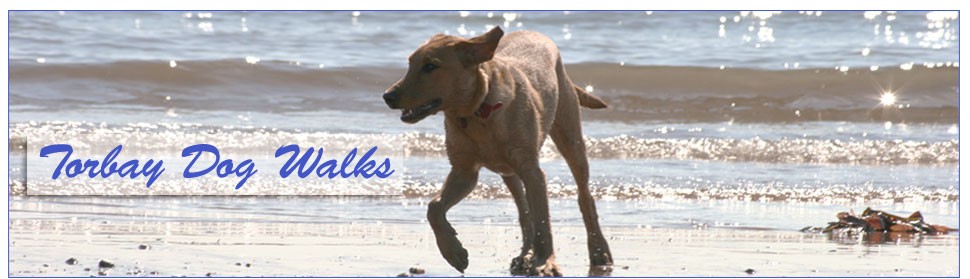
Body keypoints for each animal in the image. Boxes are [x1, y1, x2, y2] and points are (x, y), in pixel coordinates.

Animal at [382, 26, 608, 278]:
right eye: (410, 64)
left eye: (430, 66)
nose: (387, 96)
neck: (478, 110)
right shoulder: (464, 171)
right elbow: (434, 207)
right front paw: (454, 252)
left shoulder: (533, 172)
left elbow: (543, 222)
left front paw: (545, 263)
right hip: (508, 172)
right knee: (524, 211)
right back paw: (524, 256)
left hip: (570, 137)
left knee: (583, 196)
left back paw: (598, 251)